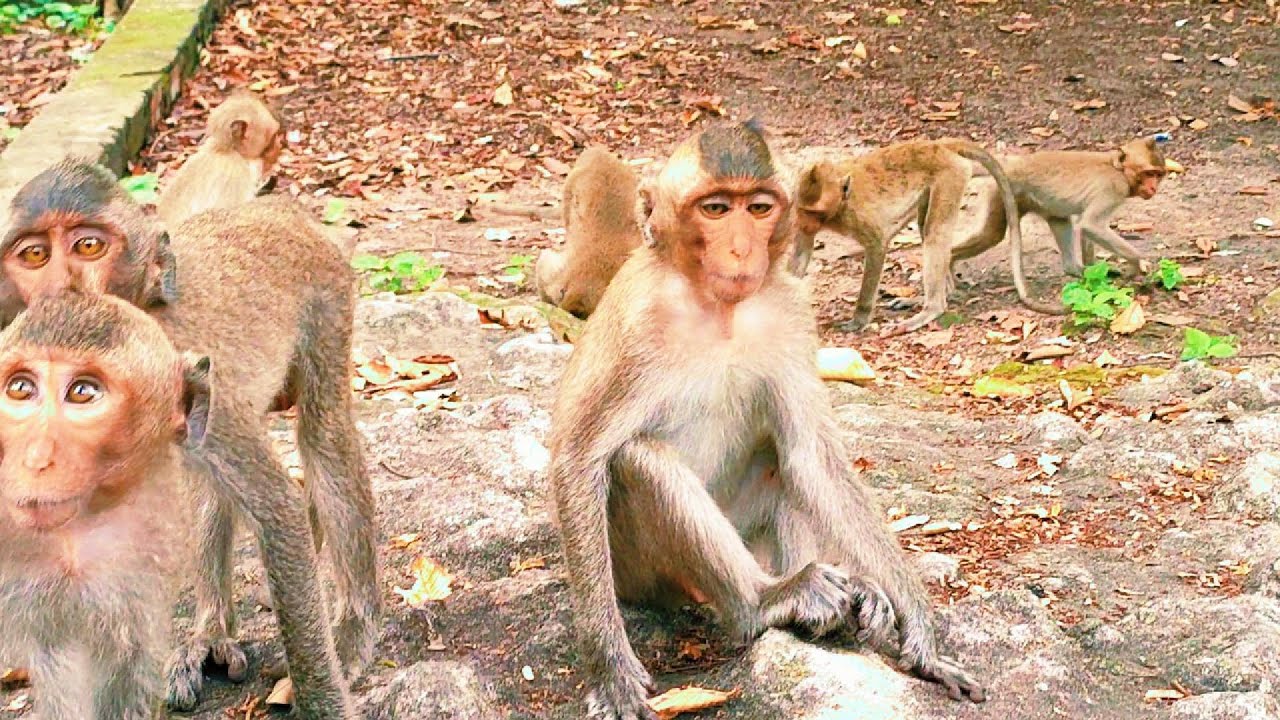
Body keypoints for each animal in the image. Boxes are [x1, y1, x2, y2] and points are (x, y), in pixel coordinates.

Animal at [546, 120, 984, 720]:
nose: (741, 248)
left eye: (757, 208)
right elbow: (579, 457)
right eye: (714, 209)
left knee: (782, 462)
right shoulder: (635, 315)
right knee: (641, 460)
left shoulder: (790, 310)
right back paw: (766, 601)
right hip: (636, 571)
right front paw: (610, 670)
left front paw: (919, 626)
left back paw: (838, 594)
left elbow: (811, 456)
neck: (716, 305)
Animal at [790, 138, 1062, 336]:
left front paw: (859, 319)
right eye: (803, 211)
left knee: (934, 233)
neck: (840, 205)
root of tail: (939, 145)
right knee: (927, 228)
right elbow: (802, 253)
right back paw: (940, 294)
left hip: (950, 175)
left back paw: (932, 308)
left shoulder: (859, 216)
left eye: (815, 213)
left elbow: (877, 247)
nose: (803, 222)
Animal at [948, 135, 1168, 279]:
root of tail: (1012, 164)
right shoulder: (1113, 188)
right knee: (991, 235)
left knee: (1060, 221)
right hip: (1004, 192)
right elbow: (1091, 225)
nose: (1153, 187)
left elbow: (1085, 228)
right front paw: (1136, 263)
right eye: (1149, 174)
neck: (1118, 169)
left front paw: (1094, 271)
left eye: (1158, 175)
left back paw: (1073, 269)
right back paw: (949, 262)